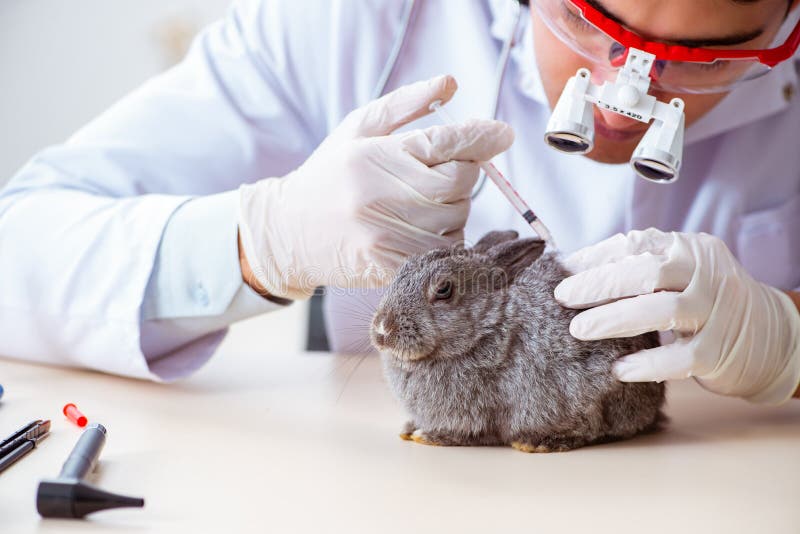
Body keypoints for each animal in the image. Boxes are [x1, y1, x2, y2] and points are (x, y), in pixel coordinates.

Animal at [370, 230, 666, 453]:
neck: (486, 328)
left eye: (444, 289)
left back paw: (539, 443)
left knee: (593, 428)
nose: (382, 330)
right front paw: (409, 428)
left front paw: (426, 435)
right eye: (403, 269)